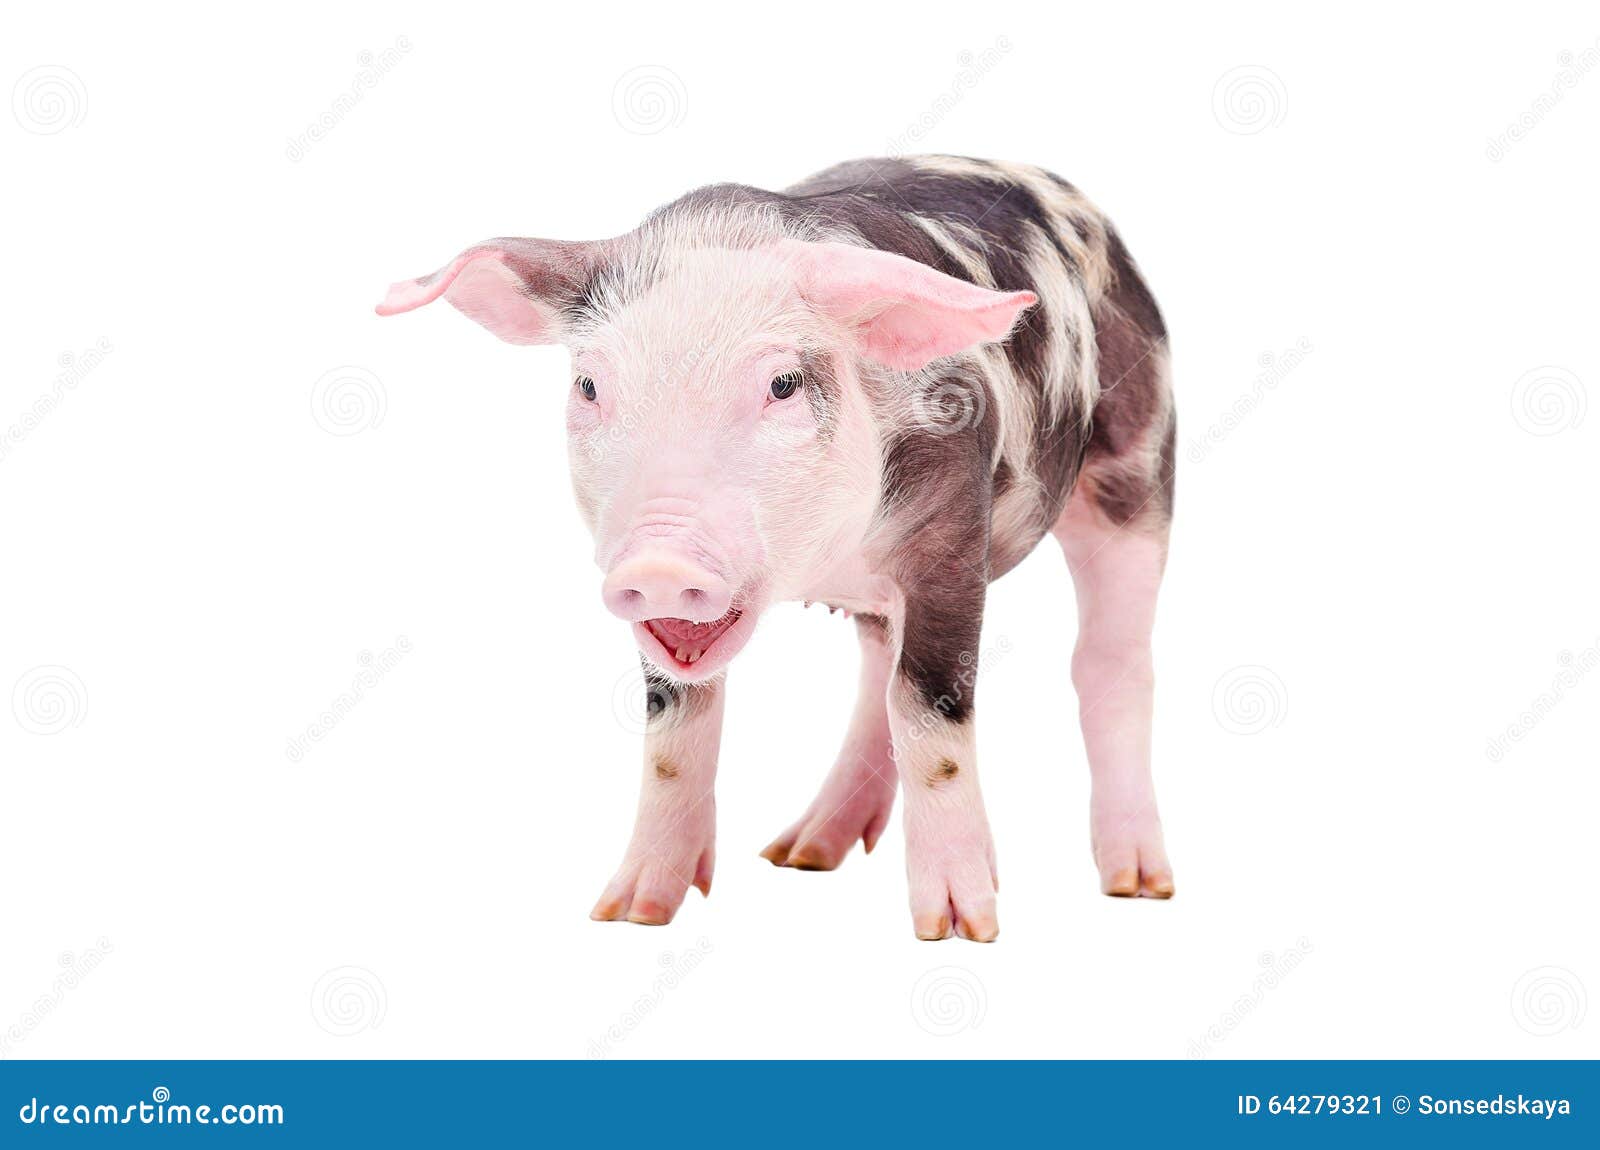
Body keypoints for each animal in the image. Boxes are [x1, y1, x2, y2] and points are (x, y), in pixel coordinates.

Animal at [377, 155, 1174, 941]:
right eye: (589, 384)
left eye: (783, 384)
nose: (659, 560)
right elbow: (676, 734)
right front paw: (630, 911)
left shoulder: (950, 544)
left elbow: (933, 722)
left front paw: (959, 927)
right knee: (875, 677)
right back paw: (802, 853)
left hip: (1139, 465)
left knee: (1110, 662)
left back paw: (1138, 884)